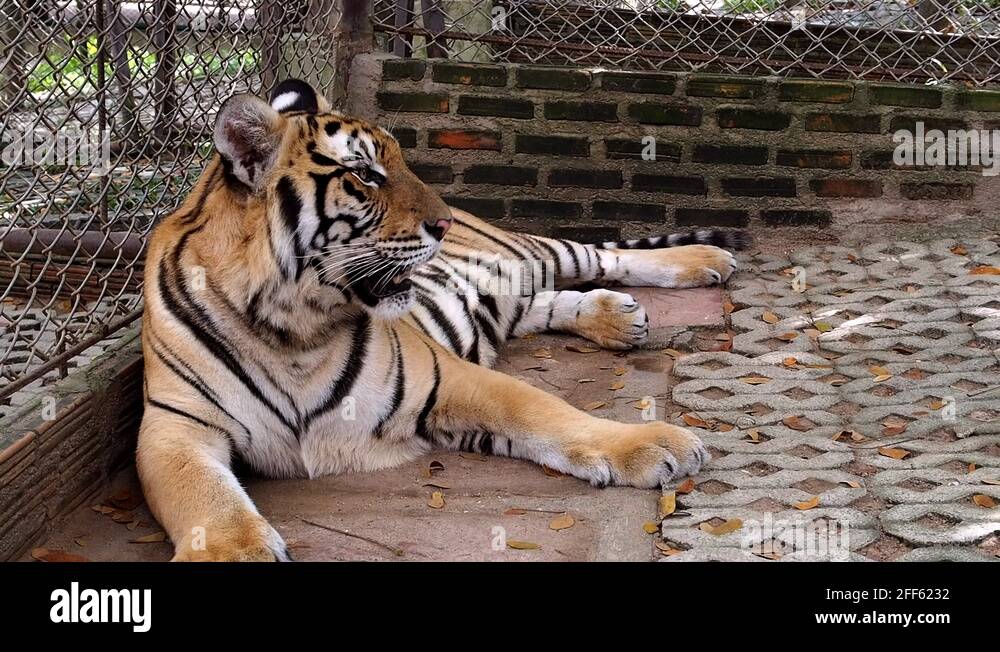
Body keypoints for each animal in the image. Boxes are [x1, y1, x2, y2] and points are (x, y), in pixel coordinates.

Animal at [138, 78, 749, 561]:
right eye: (366, 175)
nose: (444, 222)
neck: (291, 328)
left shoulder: (448, 377)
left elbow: (551, 414)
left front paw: (653, 444)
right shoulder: (174, 427)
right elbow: (201, 494)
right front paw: (232, 551)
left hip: (541, 250)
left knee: (607, 256)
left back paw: (708, 260)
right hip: (513, 292)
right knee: (540, 303)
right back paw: (615, 319)